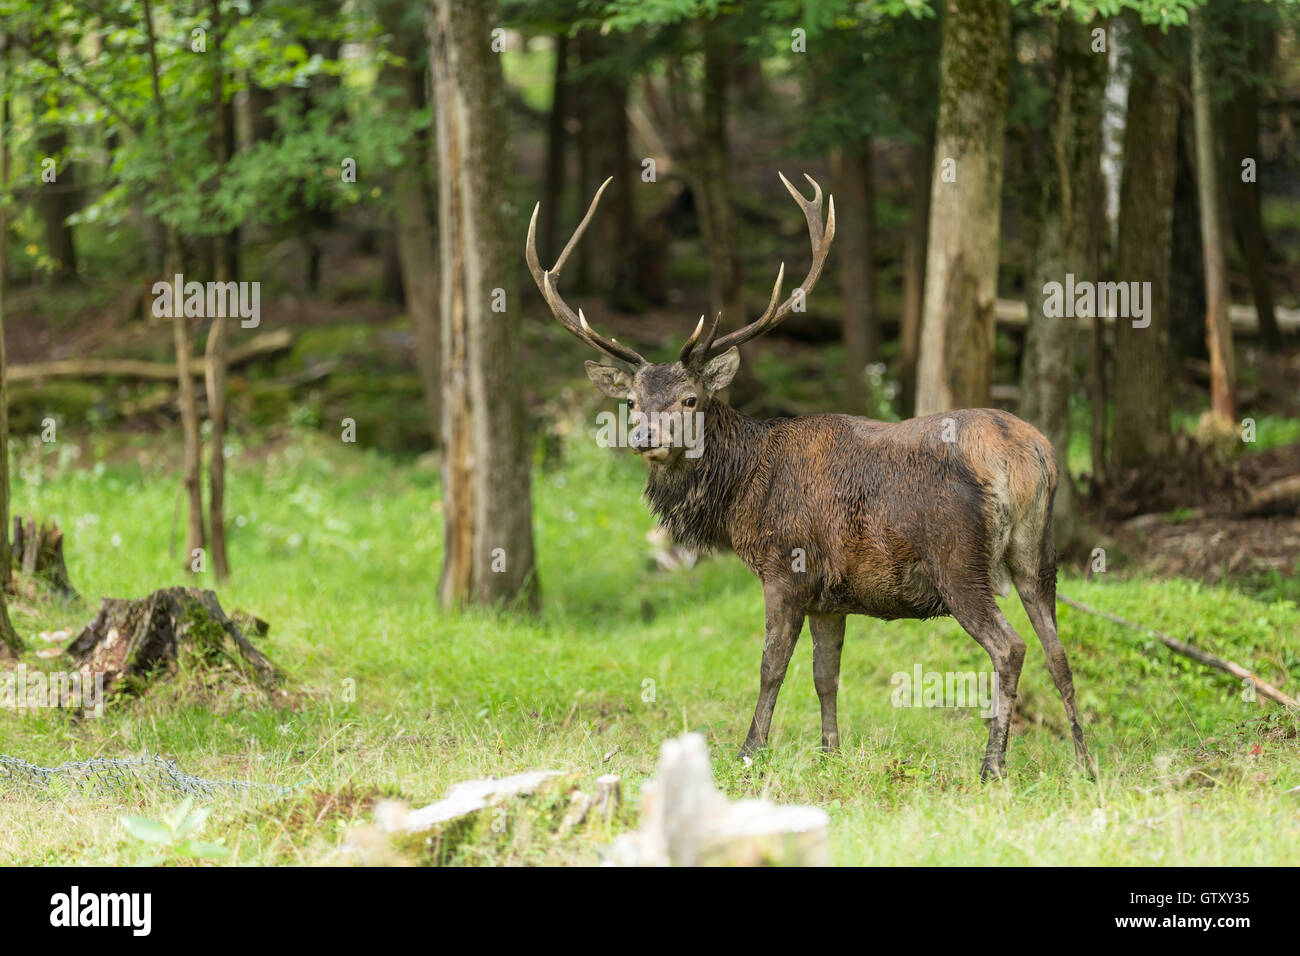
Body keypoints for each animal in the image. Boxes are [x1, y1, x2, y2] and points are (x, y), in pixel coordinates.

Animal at [525, 173, 1097, 781]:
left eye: (691, 398)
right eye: (631, 401)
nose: (643, 438)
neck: (741, 495)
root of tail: (1028, 454)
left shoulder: (787, 568)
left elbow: (771, 665)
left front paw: (750, 750)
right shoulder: (832, 595)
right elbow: (827, 675)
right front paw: (831, 753)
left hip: (958, 558)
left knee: (1009, 647)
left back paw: (993, 767)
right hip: (1037, 555)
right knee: (1057, 650)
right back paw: (1085, 763)